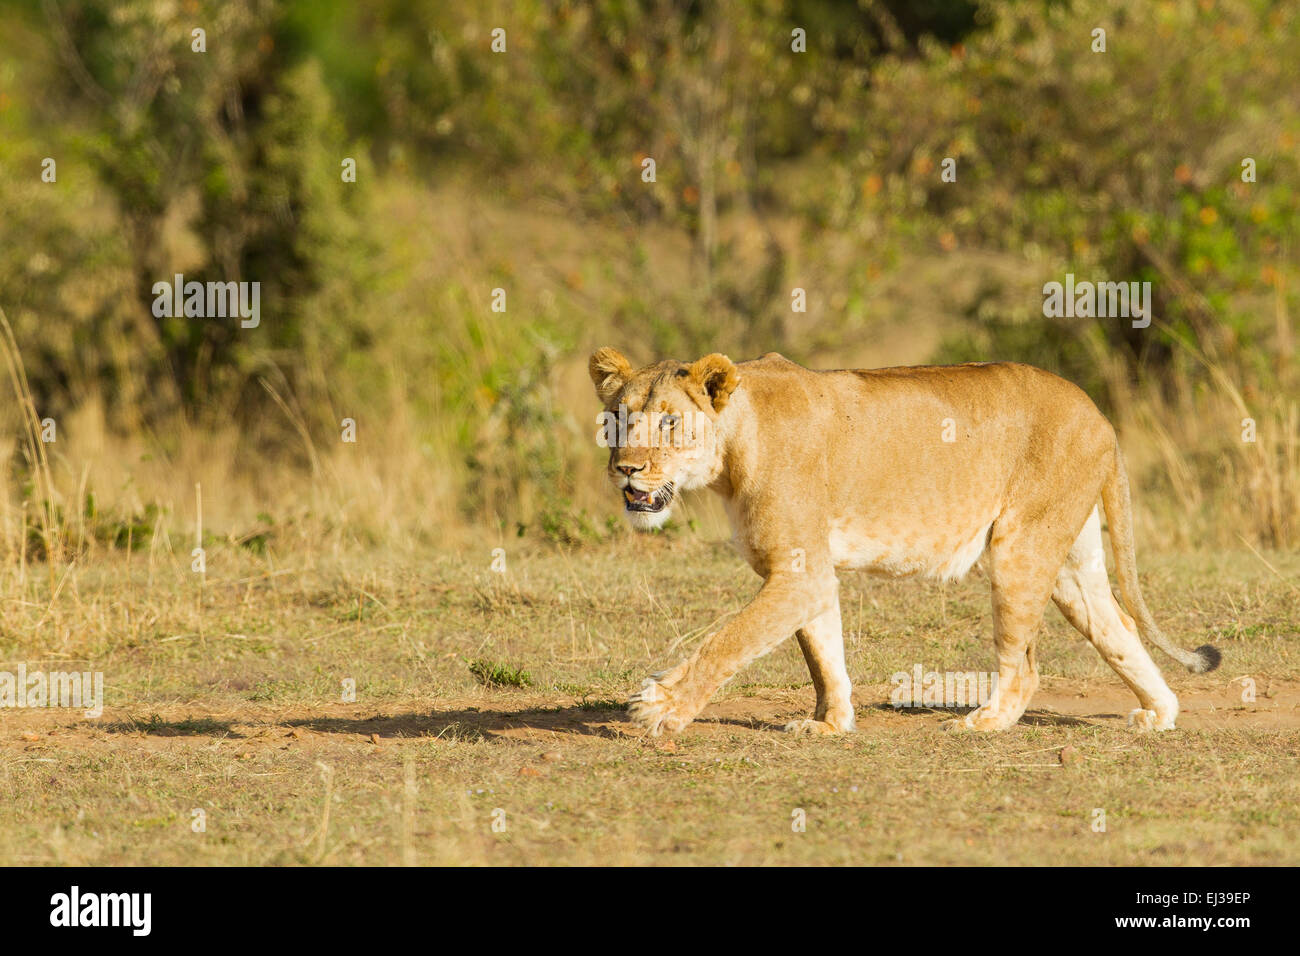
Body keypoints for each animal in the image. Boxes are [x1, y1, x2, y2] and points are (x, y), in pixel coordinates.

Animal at [588, 347, 1220, 736]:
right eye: (618, 419)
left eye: (669, 422)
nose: (626, 470)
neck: (735, 445)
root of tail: (1100, 415)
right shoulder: (810, 573)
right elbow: (824, 653)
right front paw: (830, 724)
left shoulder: (798, 571)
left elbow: (728, 642)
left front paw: (661, 708)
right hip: (1070, 561)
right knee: (1120, 626)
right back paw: (1159, 712)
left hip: (1018, 547)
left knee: (1026, 666)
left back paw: (982, 723)